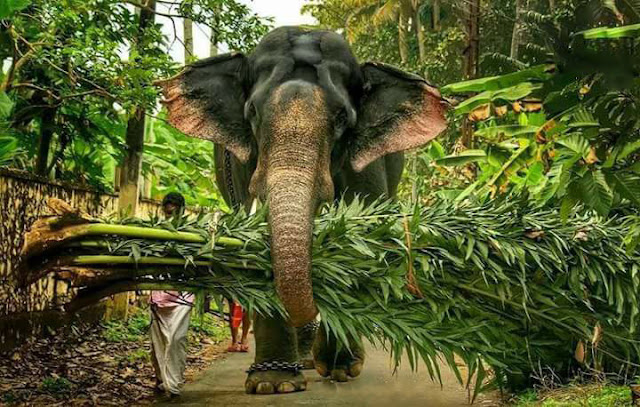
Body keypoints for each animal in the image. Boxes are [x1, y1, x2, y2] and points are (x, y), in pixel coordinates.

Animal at [159, 26, 447, 394]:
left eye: (342, 118)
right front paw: (274, 383)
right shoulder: (242, 165)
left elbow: (360, 239)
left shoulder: (367, 165)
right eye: (252, 113)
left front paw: (341, 368)